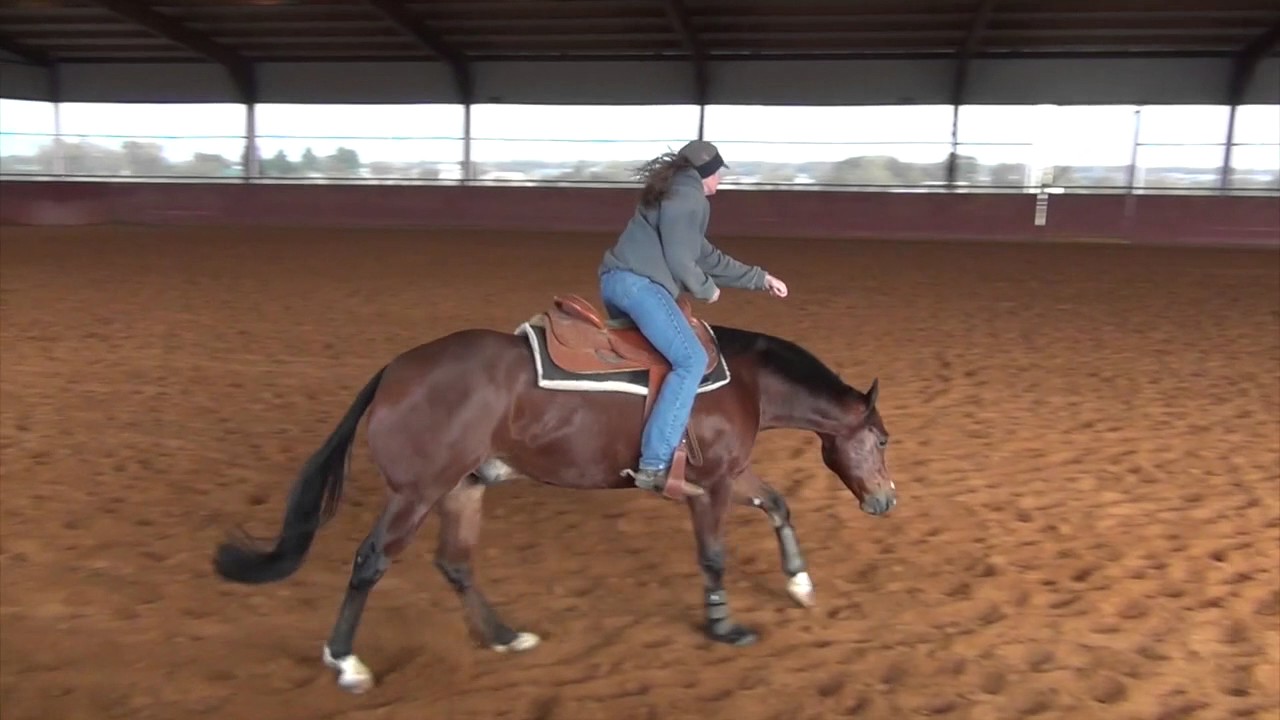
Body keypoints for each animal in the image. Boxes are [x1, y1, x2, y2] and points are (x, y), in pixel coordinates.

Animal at [212, 294, 897, 694]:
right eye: (883, 439)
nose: (886, 502)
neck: (744, 380)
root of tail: (394, 372)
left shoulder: (729, 474)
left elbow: (778, 503)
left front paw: (800, 584)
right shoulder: (713, 486)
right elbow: (714, 557)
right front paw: (724, 627)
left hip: (463, 488)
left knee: (455, 564)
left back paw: (505, 636)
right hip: (416, 493)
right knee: (371, 560)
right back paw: (347, 662)